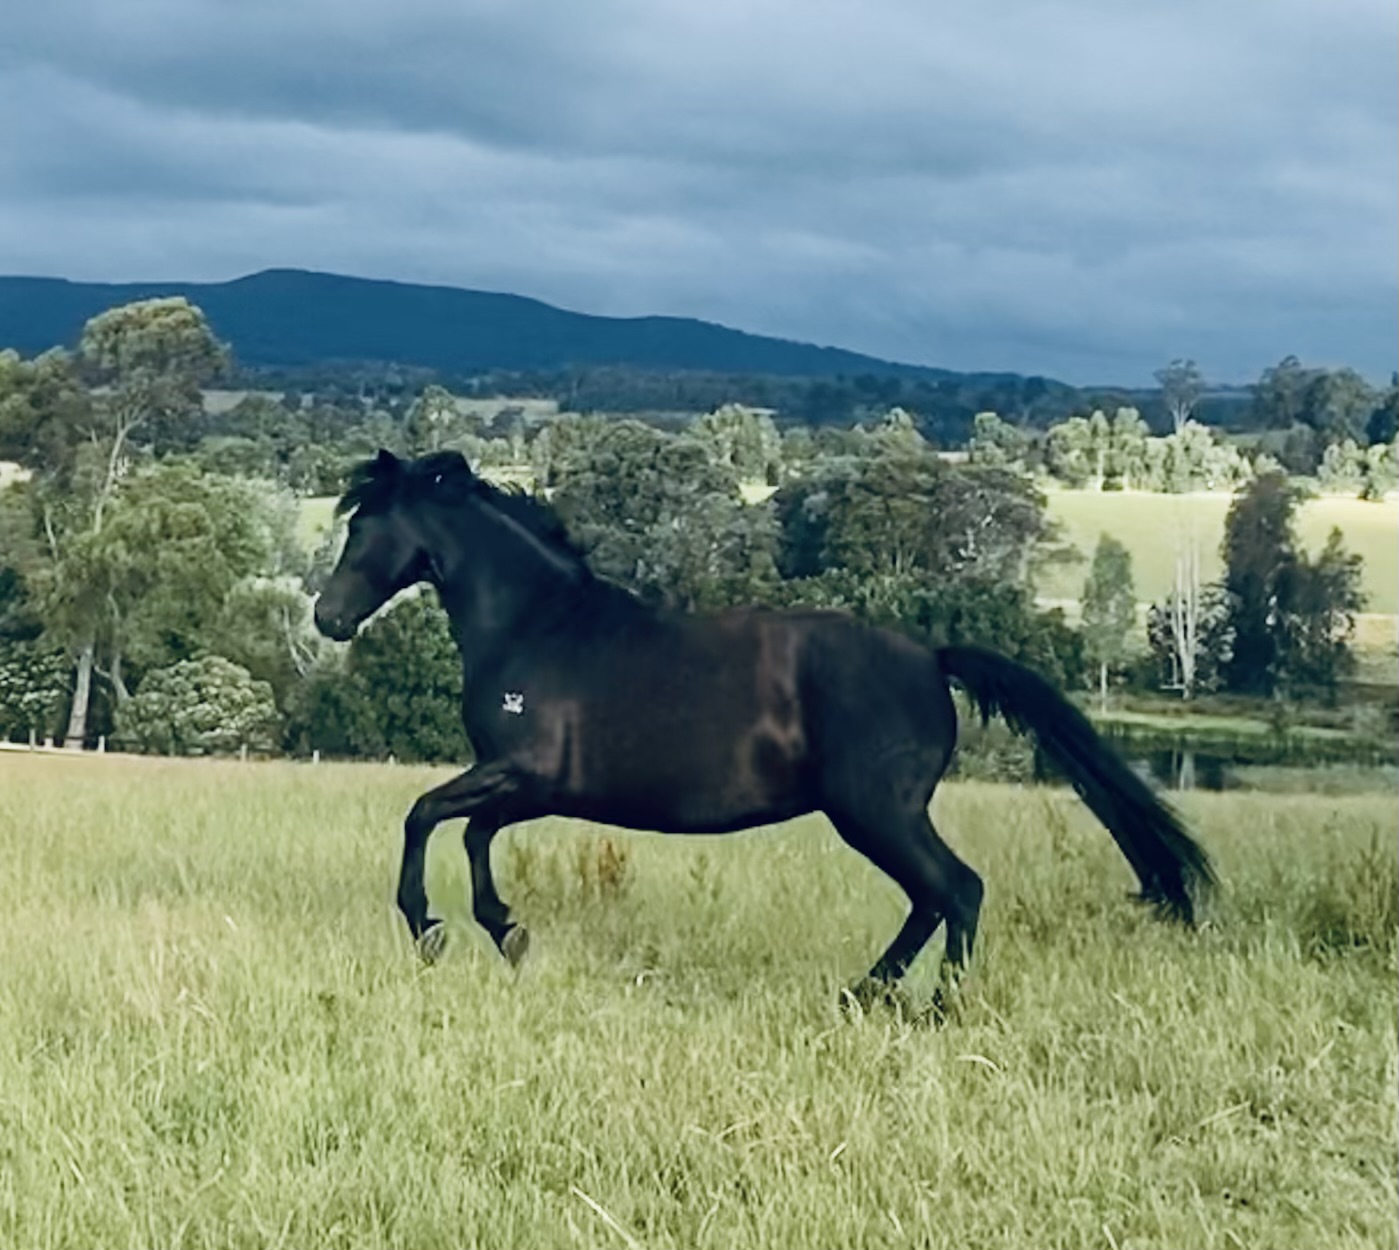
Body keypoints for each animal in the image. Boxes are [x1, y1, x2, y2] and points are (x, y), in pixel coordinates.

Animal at [313, 449, 1213, 1007]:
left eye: (363, 528)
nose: (326, 618)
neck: (537, 625)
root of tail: (930, 657)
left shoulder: (522, 773)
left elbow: (426, 815)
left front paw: (430, 929)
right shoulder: (531, 786)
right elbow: (470, 832)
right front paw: (505, 932)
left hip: (873, 811)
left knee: (955, 889)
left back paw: (933, 1005)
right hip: (876, 815)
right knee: (932, 898)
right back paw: (864, 993)